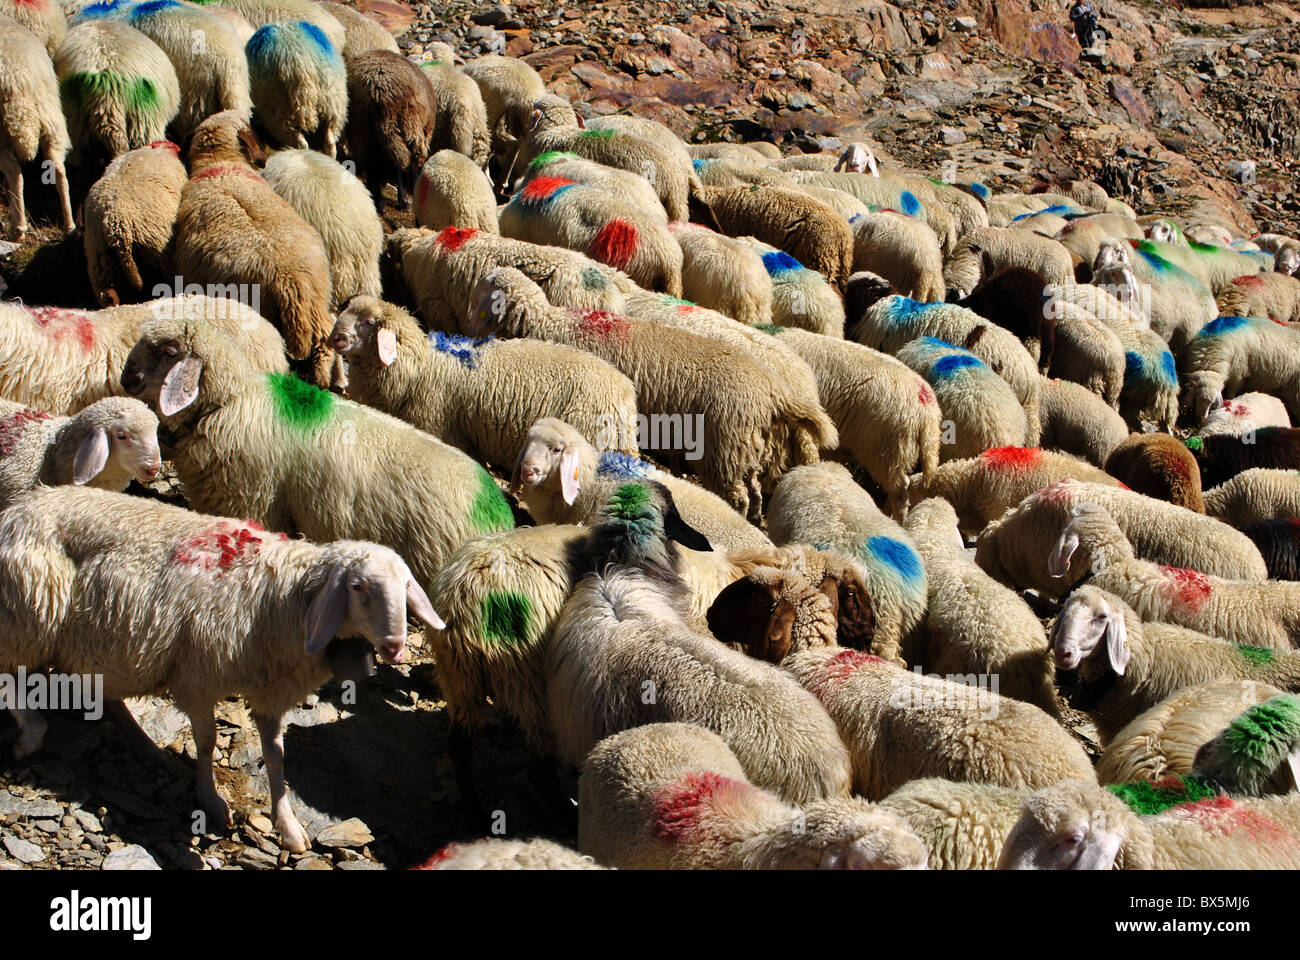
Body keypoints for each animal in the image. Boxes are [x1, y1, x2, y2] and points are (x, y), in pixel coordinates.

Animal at [0, 18, 75, 239]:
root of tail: (17, 75)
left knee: (13, 169)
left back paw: (18, 228)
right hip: (51, 116)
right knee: (58, 169)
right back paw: (69, 226)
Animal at [0, 484, 442, 852]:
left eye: (406, 588)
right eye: (357, 586)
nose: (395, 647)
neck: (286, 596)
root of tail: (19, 508)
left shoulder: (271, 689)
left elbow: (276, 755)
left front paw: (288, 827)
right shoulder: (197, 676)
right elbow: (208, 741)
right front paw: (209, 799)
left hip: (101, 646)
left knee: (105, 696)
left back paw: (146, 748)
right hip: (31, 609)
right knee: (9, 673)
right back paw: (31, 734)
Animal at [343, 50, 435, 210]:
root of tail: (380, 90)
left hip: (365, 128)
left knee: (377, 161)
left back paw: (380, 201)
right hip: (397, 126)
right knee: (397, 161)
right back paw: (396, 200)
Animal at [468, 267, 828, 522]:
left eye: (483, 291)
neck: (553, 324)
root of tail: (776, 393)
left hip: (724, 447)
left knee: (737, 494)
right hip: (744, 448)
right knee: (753, 492)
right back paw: (754, 517)